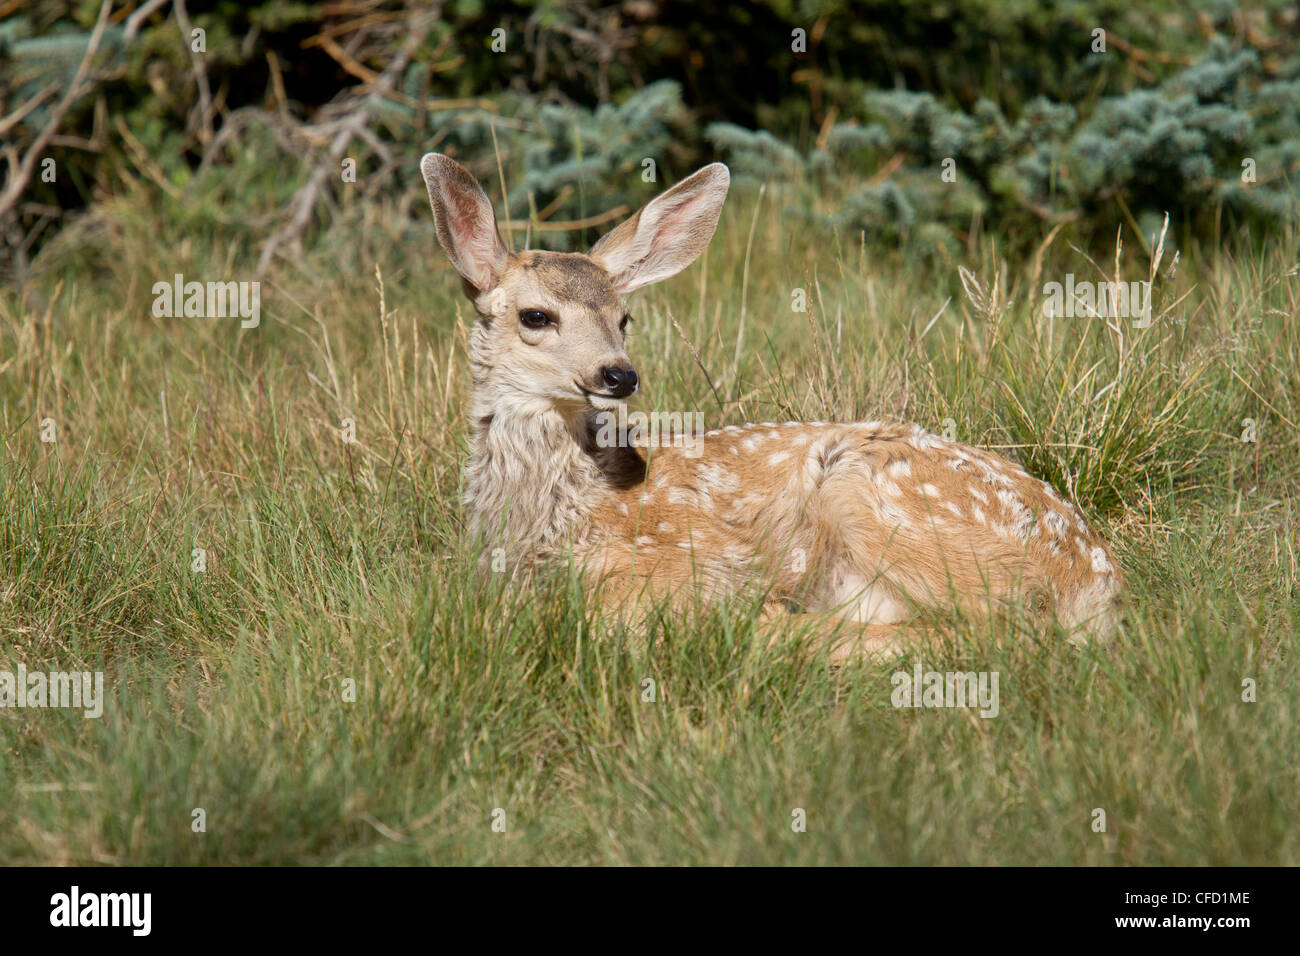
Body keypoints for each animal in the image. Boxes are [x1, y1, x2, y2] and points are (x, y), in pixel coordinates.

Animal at [419, 152, 1124, 660]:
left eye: (625, 319)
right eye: (536, 316)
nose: (618, 375)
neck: (547, 520)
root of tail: (1096, 581)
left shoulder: (677, 563)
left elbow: (617, 616)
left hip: (880, 498)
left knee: (1007, 631)